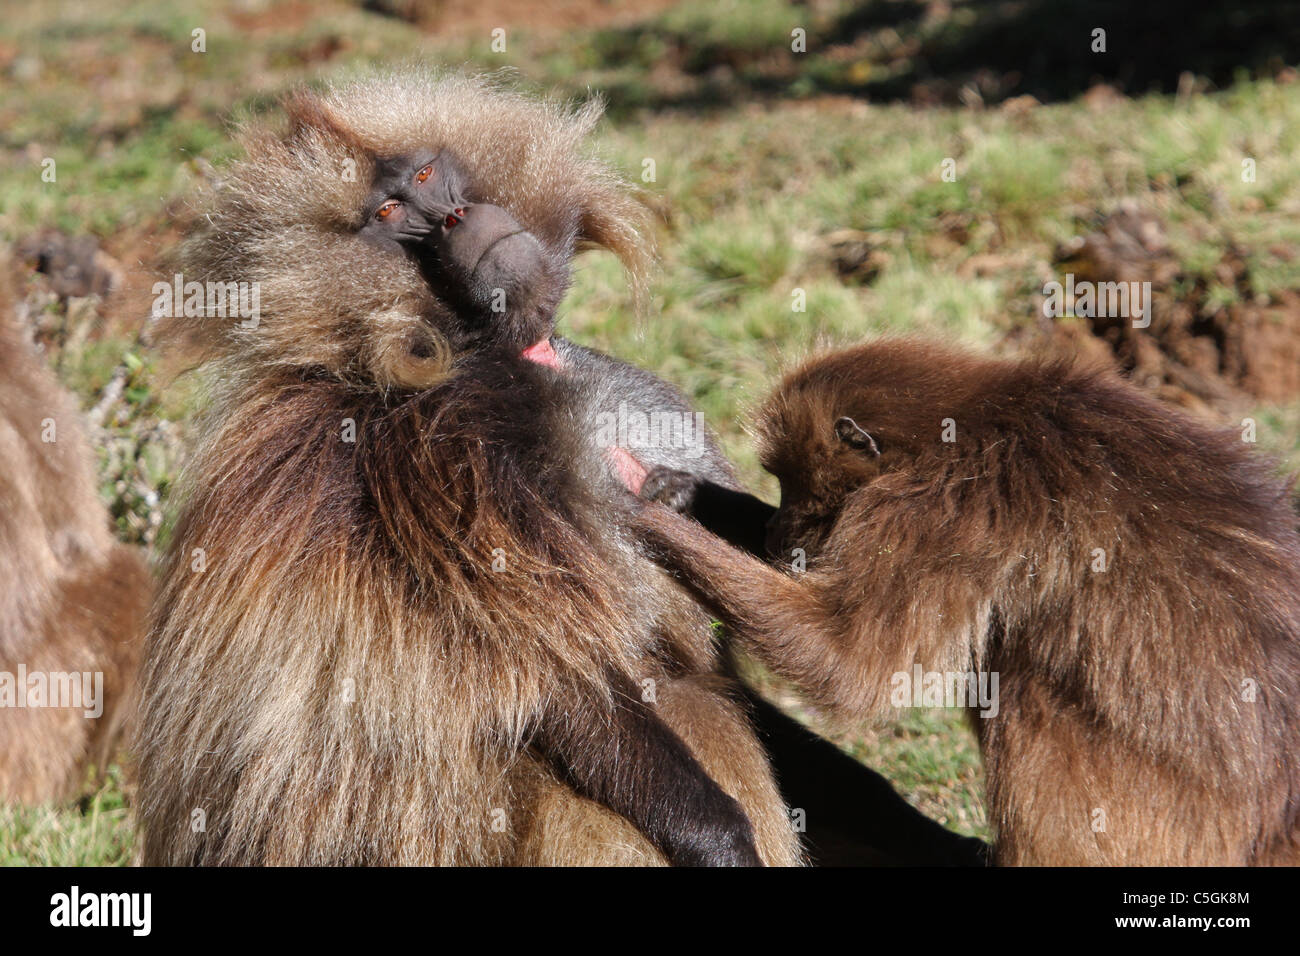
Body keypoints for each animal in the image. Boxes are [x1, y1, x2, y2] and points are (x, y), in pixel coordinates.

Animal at [135, 70, 804, 866]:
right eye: (389, 213)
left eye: (427, 174)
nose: (453, 215)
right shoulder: (446, 463)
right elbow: (558, 687)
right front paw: (722, 840)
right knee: (686, 708)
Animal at [633, 339, 1300, 865]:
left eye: (796, 485)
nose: (776, 533)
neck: (971, 421)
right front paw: (687, 496)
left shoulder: (934, 516)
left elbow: (846, 666)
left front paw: (649, 519)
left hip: (1168, 826)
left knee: (1027, 694)